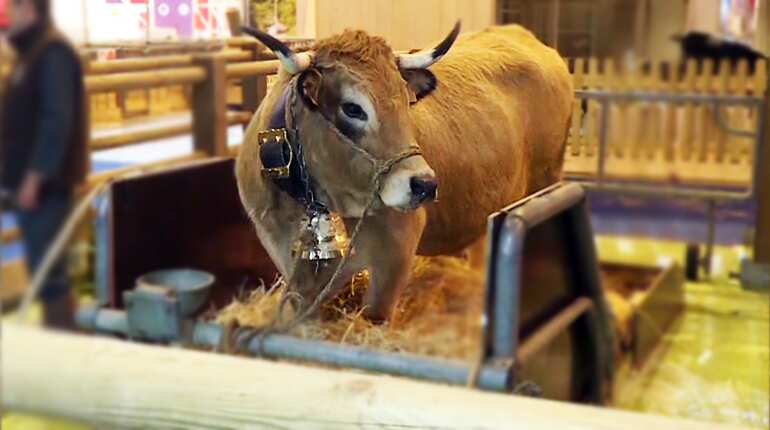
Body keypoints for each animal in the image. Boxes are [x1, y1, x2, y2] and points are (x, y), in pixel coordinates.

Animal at [236, 23, 573, 322]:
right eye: (353, 108)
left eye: (405, 100)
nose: (424, 184)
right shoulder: (279, 244)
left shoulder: (396, 248)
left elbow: (375, 315)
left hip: (546, 180)